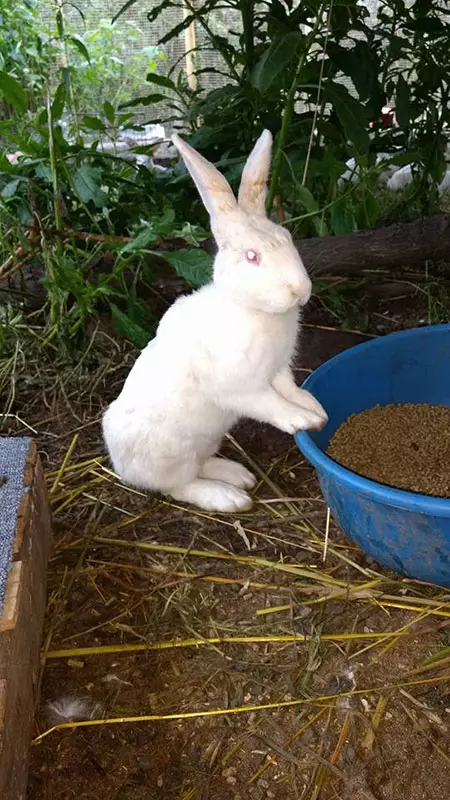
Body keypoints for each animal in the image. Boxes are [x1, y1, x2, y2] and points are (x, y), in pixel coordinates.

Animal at [102, 128, 326, 510]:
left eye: (287, 238)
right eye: (252, 256)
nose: (301, 290)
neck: (250, 308)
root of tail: (120, 465)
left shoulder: (278, 370)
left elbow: (289, 389)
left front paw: (314, 407)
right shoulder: (243, 388)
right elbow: (270, 404)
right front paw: (302, 420)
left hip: (208, 440)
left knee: (202, 465)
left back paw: (237, 475)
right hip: (172, 457)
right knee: (178, 485)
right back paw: (229, 497)